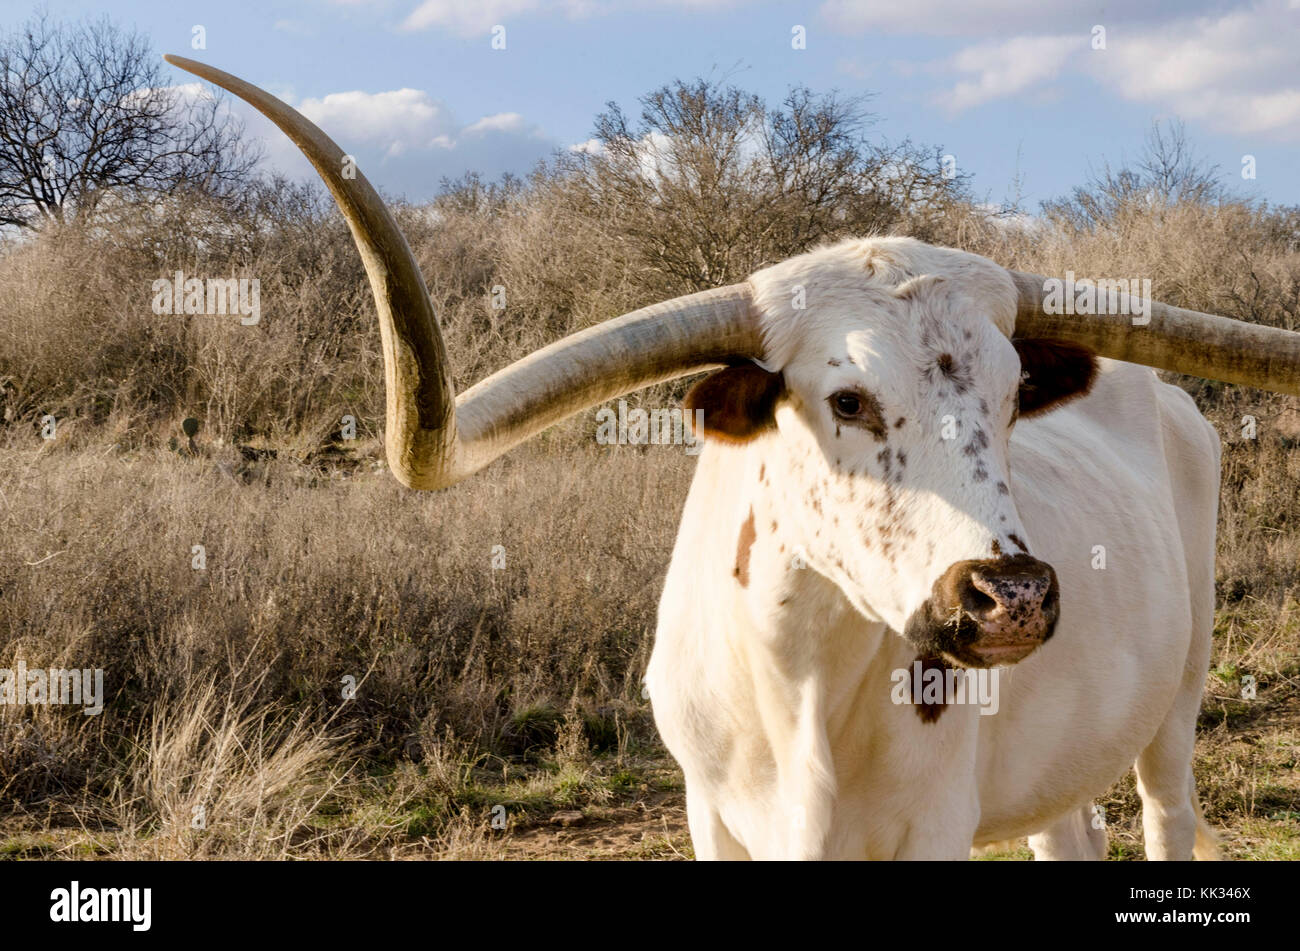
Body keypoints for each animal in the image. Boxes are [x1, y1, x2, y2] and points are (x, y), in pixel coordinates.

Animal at [165, 56, 1300, 860]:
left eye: (1011, 394)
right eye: (846, 398)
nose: (1009, 597)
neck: (800, 687)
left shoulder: (930, 829)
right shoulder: (710, 818)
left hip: (1177, 707)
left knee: (1166, 815)